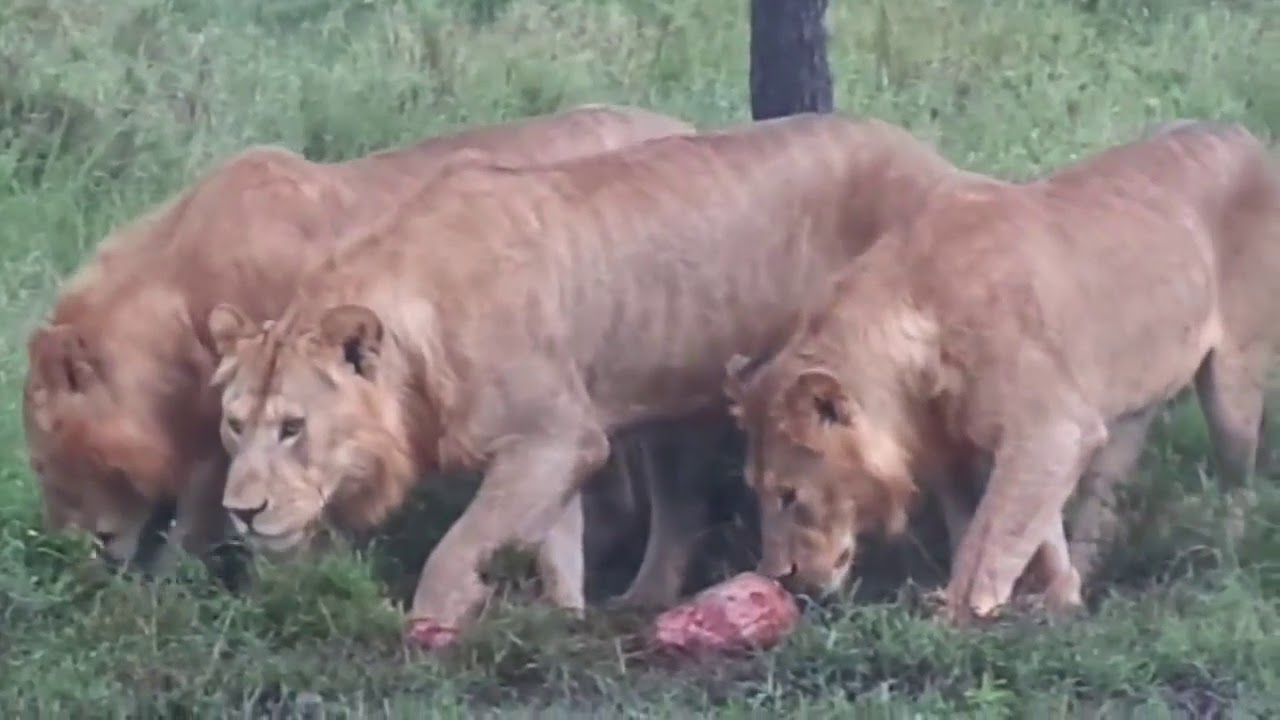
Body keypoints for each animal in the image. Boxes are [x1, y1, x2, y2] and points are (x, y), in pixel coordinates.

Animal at [204, 111, 963, 643]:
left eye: (293, 427)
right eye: (234, 425)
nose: (240, 511)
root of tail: (934, 159)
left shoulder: (555, 437)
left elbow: (459, 548)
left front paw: (430, 629)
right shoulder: (563, 442)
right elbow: (556, 543)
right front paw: (563, 622)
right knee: (679, 505)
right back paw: (642, 600)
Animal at [723, 120, 1280, 624]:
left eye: (789, 496)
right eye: (755, 490)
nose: (777, 578)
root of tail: (1244, 134)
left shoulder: (1052, 426)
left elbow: (990, 531)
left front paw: (959, 614)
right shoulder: (1024, 439)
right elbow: (1031, 525)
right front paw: (1060, 597)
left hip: (1234, 383)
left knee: (1239, 482)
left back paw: (1227, 558)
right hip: (1131, 405)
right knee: (1102, 496)